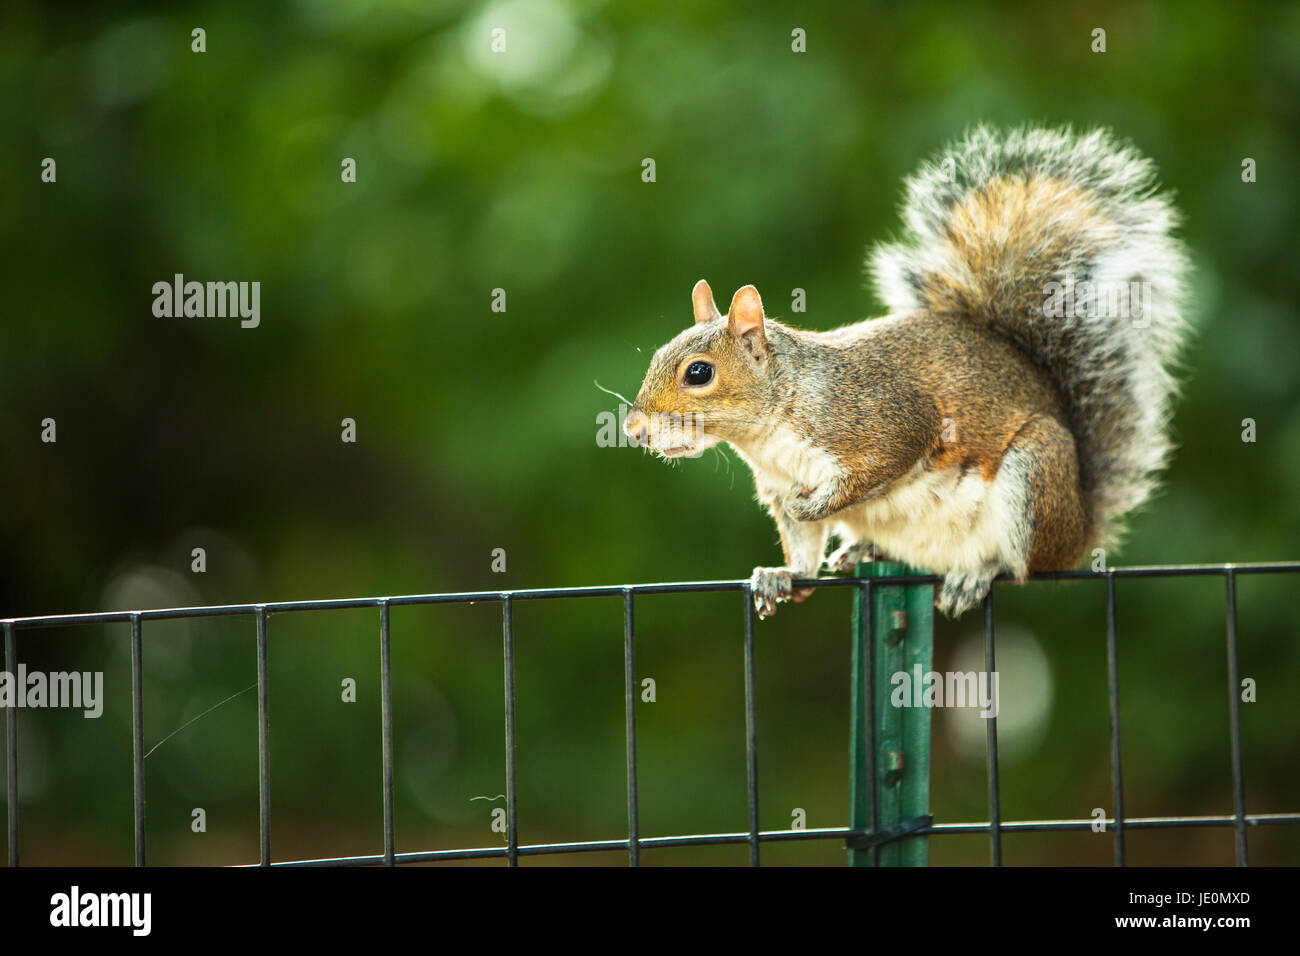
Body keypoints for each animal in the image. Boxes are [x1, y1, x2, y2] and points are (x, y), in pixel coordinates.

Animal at [623, 125, 1191, 619]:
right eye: (656, 357)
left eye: (699, 373)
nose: (633, 429)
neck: (774, 427)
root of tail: (1080, 527)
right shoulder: (777, 487)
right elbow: (801, 548)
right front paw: (782, 575)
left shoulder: (882, 420)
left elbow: (882, 462)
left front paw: (818, 506)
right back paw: (862, 551)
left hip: (1034, 473)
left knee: (1024, 565)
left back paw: (978, 573)